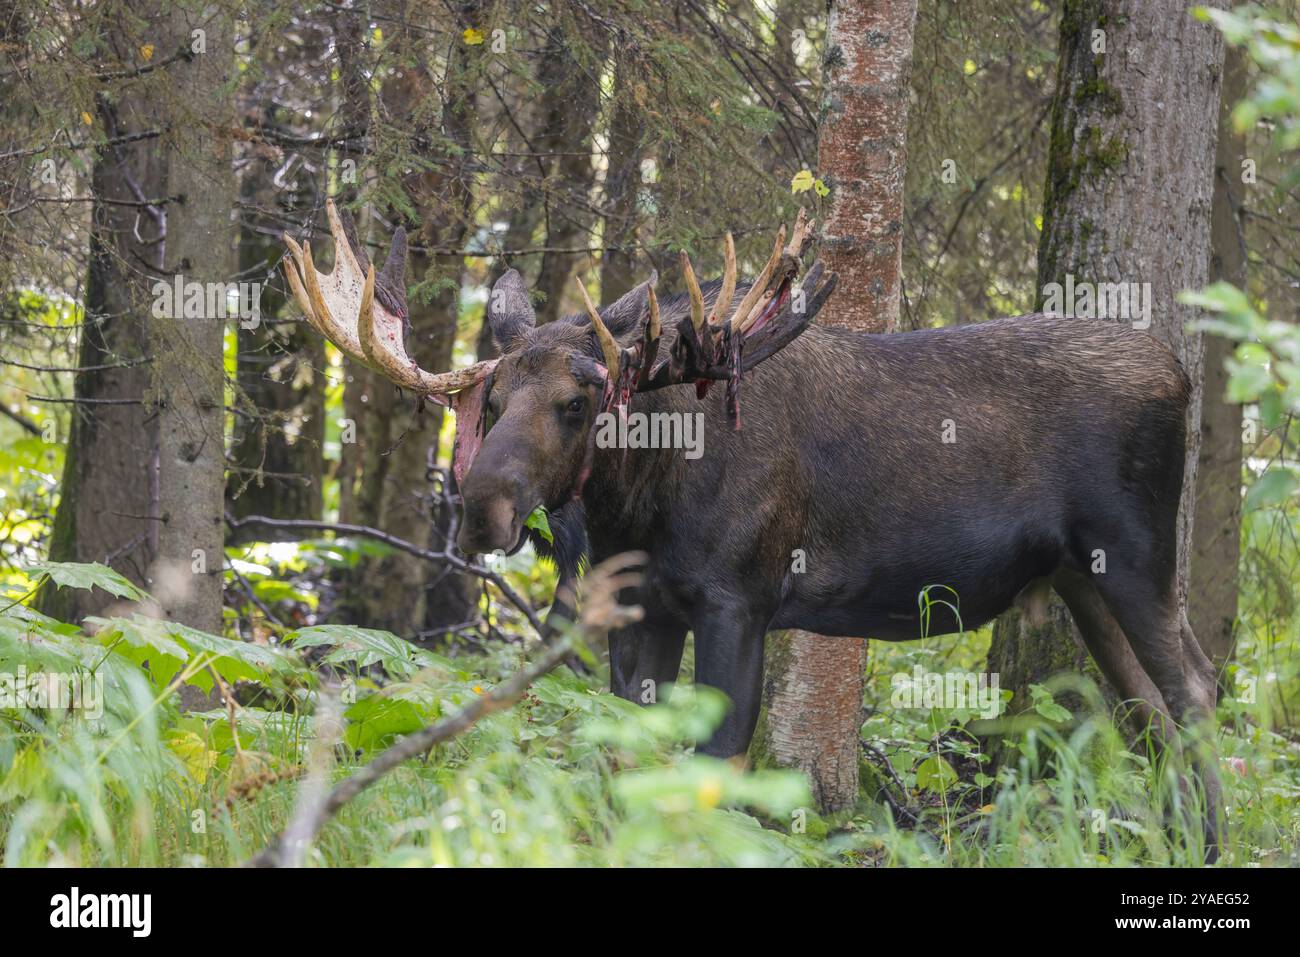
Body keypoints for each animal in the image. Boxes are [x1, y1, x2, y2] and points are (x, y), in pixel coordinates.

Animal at [281, 200, 1223, 857]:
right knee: (1149, 709)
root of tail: (1182, 376)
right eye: (491, 399)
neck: (643, 506)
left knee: (1197, 687)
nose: (482, 506)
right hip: (1079, 577)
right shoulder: (643, 609)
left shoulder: (739, 599)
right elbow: (634, 750)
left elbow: (722, 758)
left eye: (580, 400)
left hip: (1134, 553)